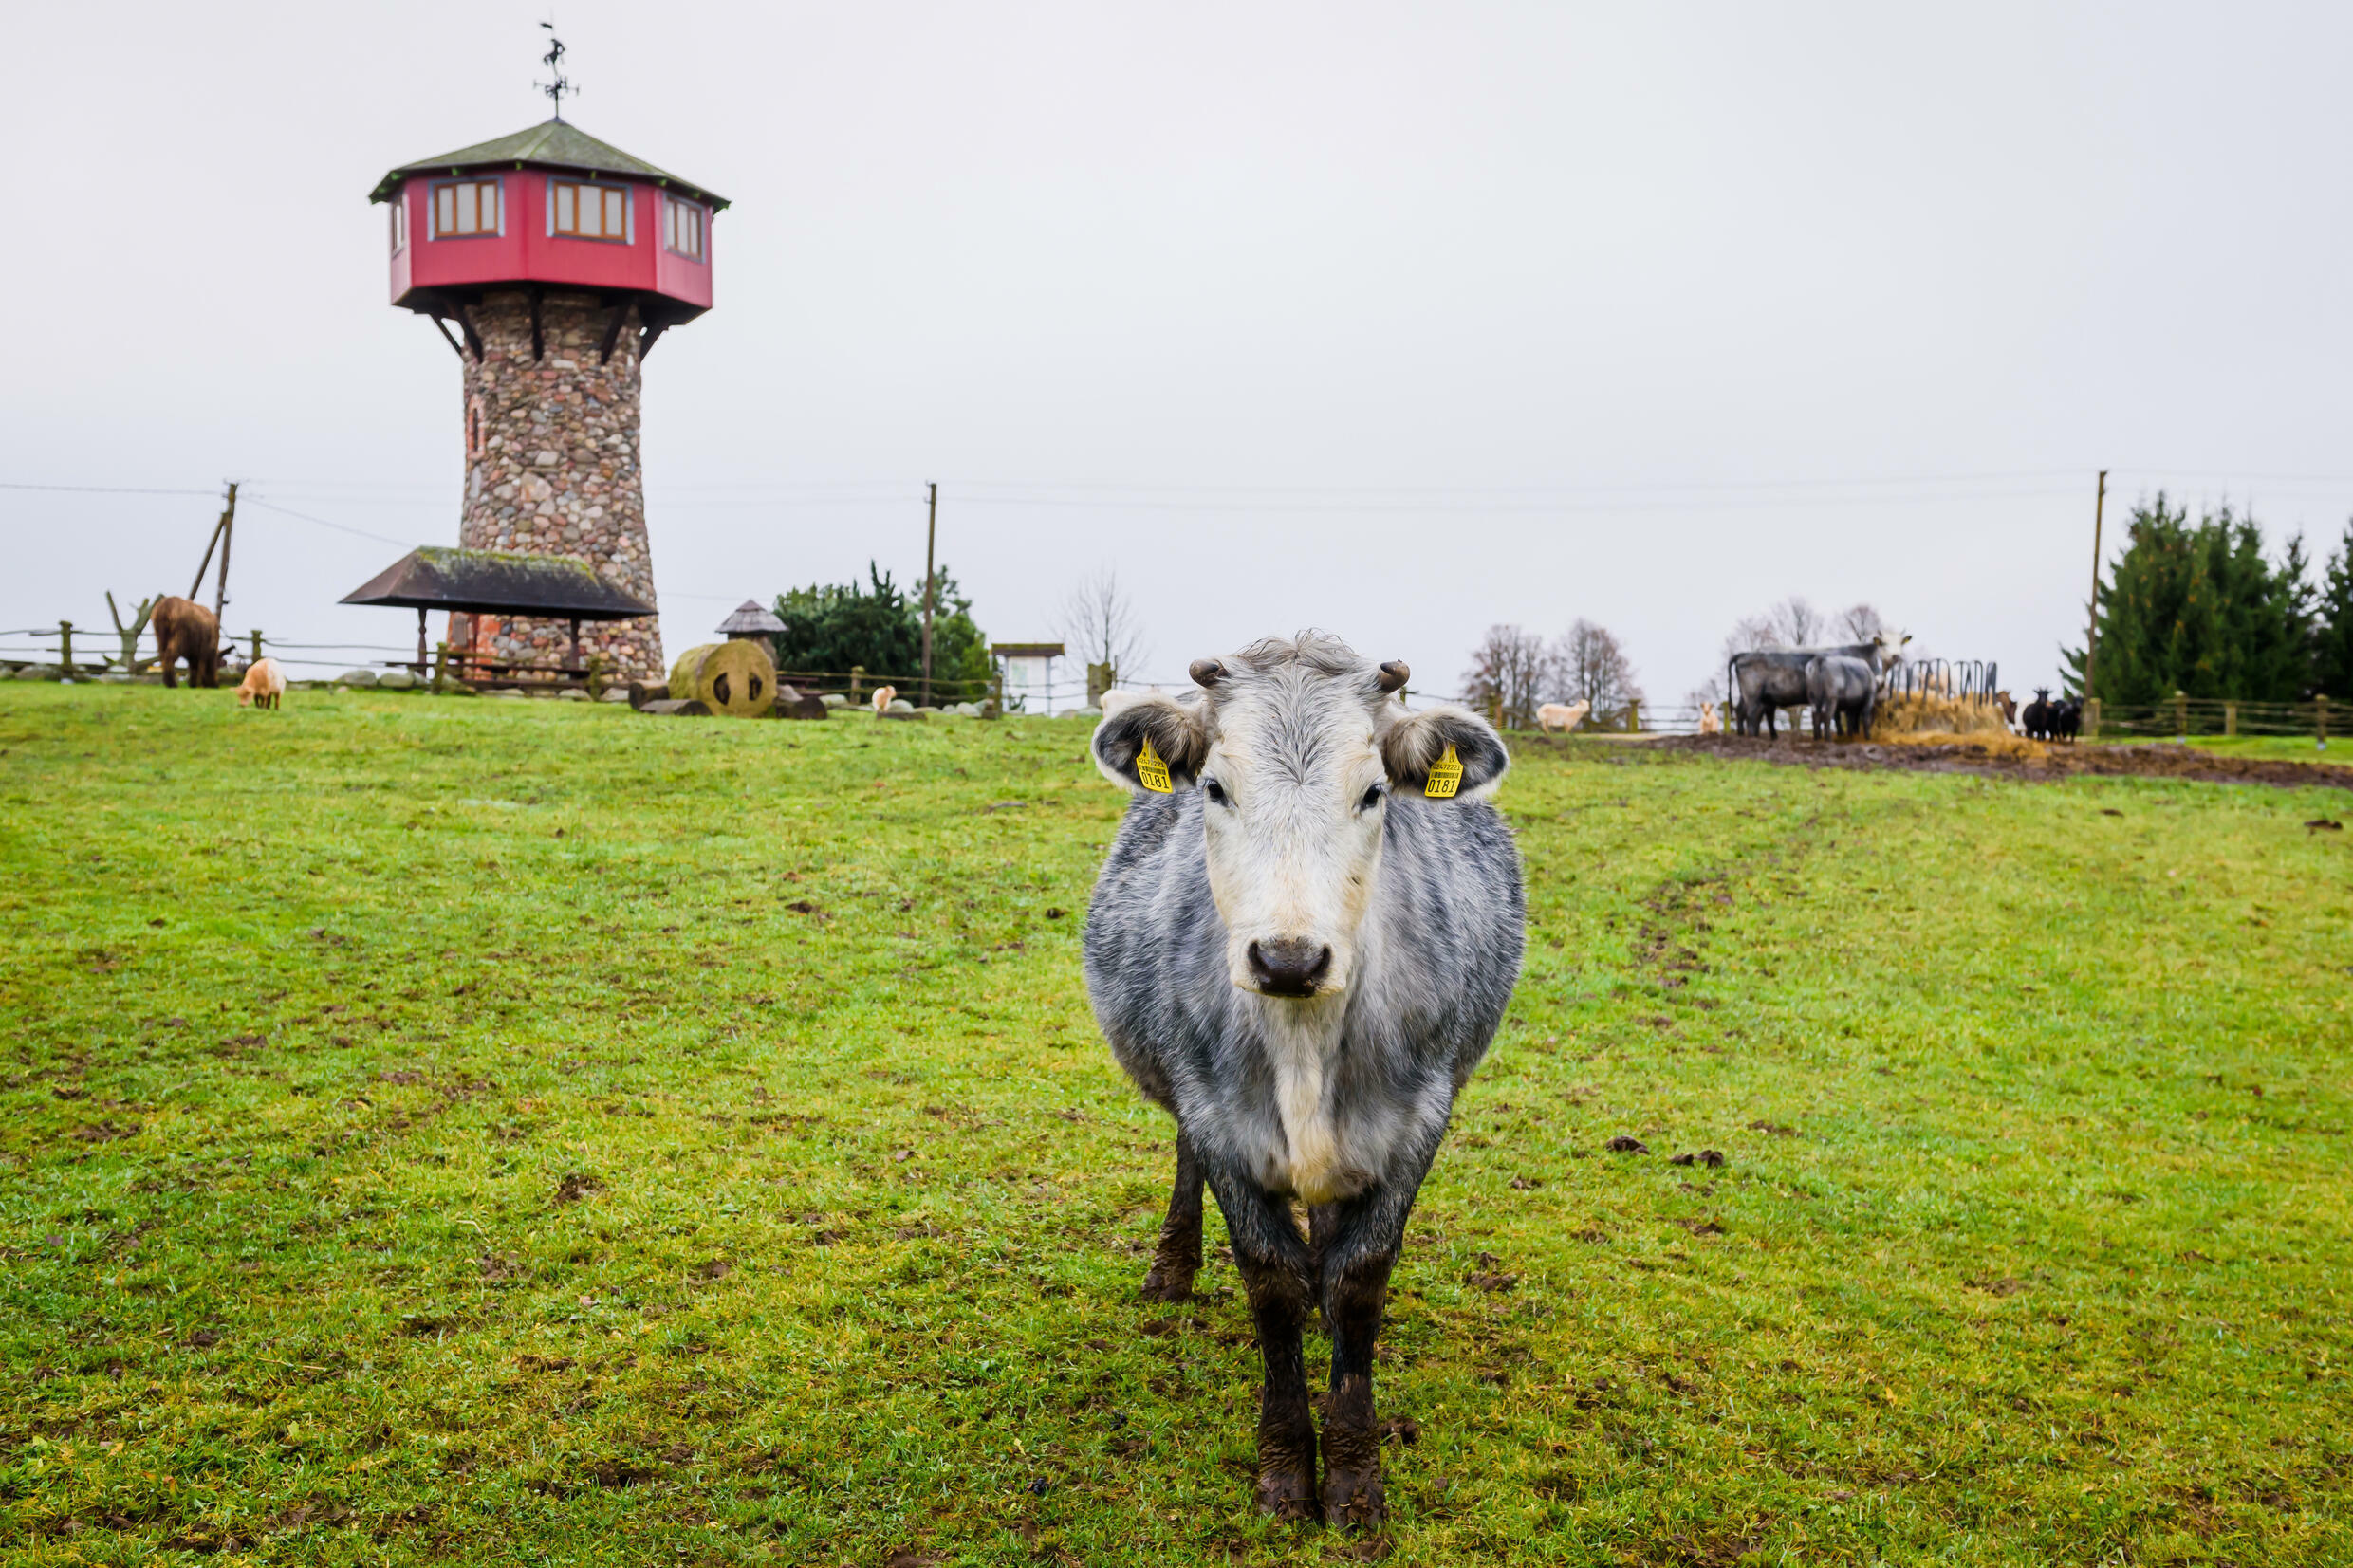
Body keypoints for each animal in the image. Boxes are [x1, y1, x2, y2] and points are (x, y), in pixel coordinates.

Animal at [1084, 634, 1523, 1529]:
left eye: (1374, 791)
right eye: (1215, 787)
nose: (1288, 958)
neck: (1303, 1045)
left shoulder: (1418, 1117)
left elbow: (1357, 1279)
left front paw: (1355, 1479)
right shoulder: (1217, 1112)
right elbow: (1271, 1281)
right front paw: (1286, 1474)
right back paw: (1172, 1268)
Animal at [1729, 632, 1908, 738]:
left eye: (1901, 643)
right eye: (1883, 643)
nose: (1896, 656)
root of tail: (1745, 654)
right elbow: (1842, 717)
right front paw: (1846, 734)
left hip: (1753, 696)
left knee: (1743, 712)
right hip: (1753, 695)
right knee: (1751, 715)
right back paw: (1752, 737)